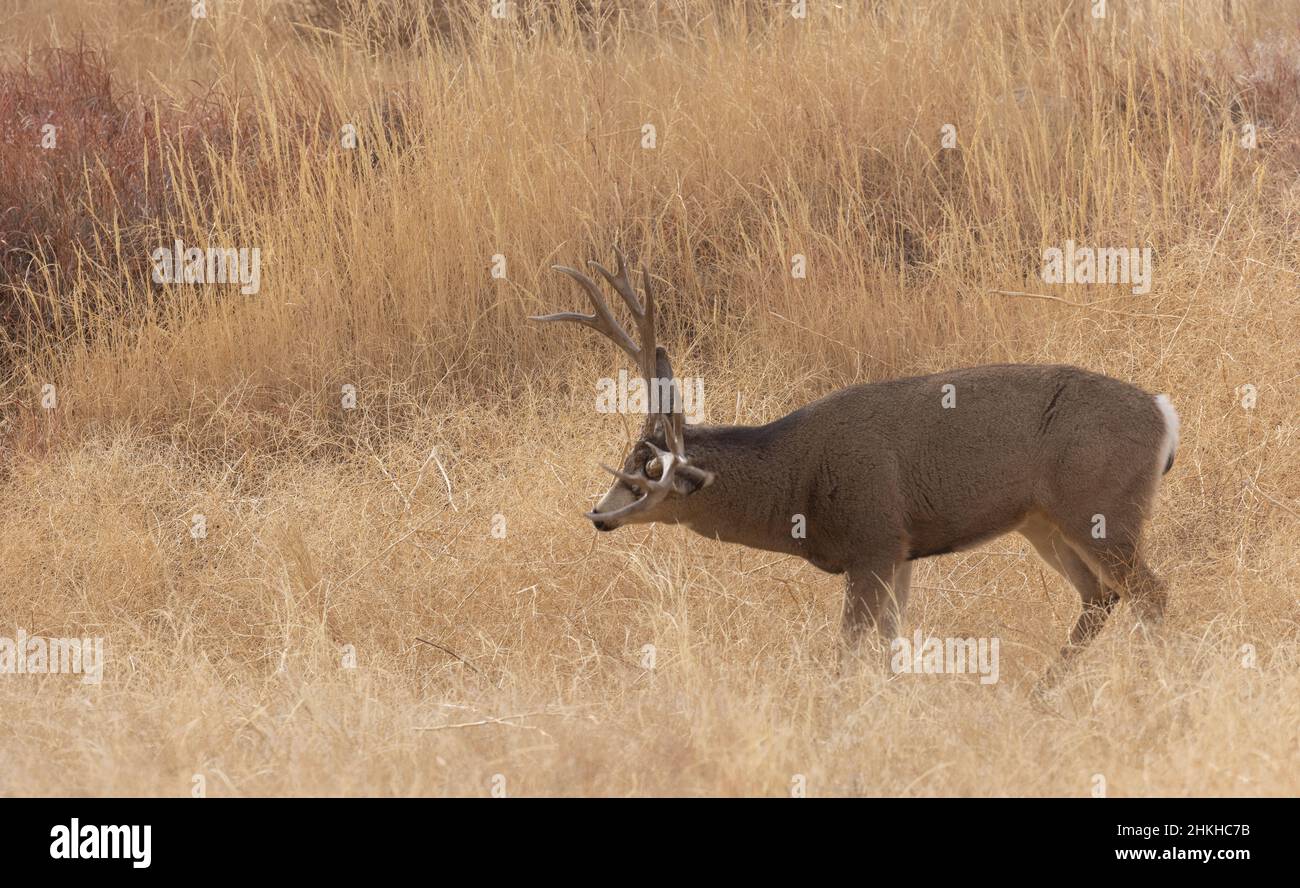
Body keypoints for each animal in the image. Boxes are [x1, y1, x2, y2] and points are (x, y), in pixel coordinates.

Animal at [531, 249, 1179, 680]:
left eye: (645, 469)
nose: (598, 514)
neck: (797, 484)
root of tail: (1162, 415)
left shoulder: (873, 540)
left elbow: (848, 651)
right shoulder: (899, 553)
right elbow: (891, 644)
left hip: (1101, 507)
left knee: (1151, 594)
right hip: (1045, 524)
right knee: (1101, 598)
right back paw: (1046, 688)